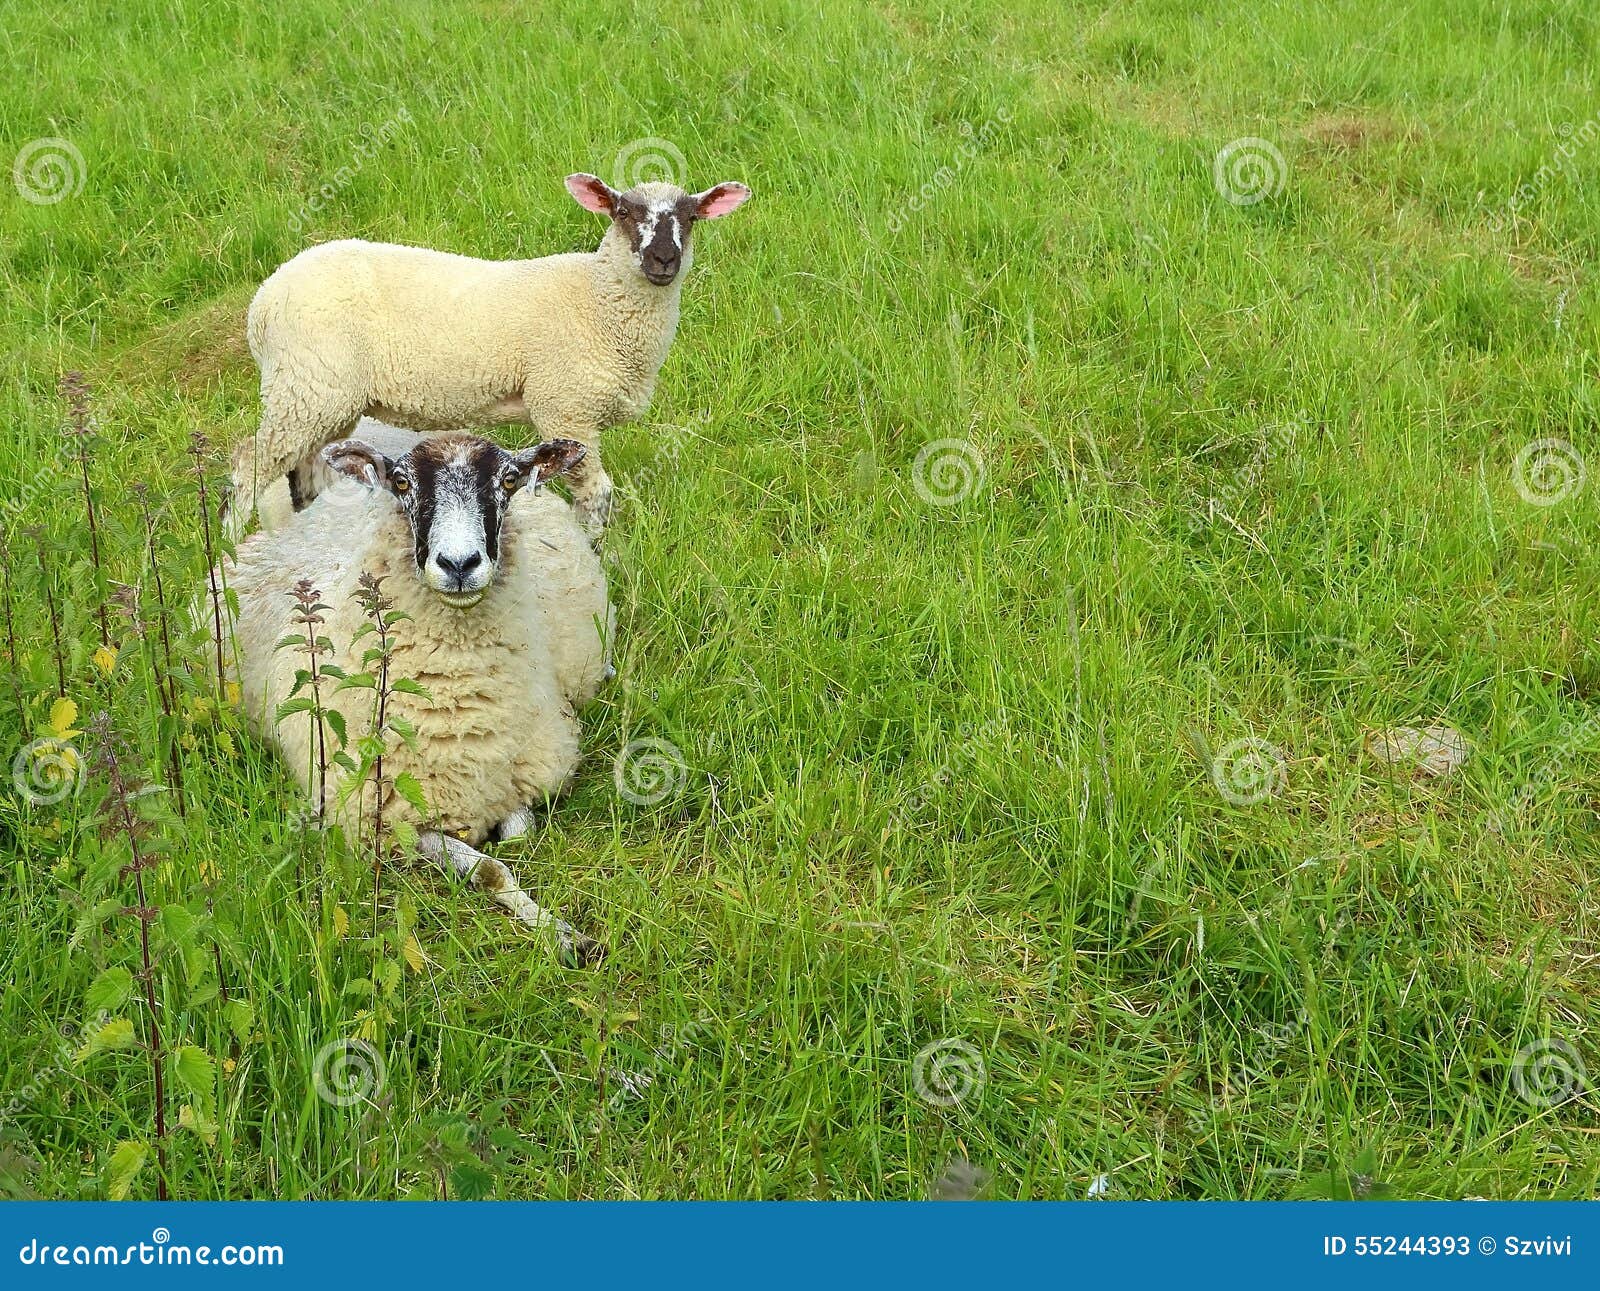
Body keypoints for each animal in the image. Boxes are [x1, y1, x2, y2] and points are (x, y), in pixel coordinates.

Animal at [216, 419, 614, 963]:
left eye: (510, 479)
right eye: (402, 483)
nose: (459, 563)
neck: (459, 707)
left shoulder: (520, 780)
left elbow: (516, 837)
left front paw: (559, 927)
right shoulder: (391, 823)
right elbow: (493, 869)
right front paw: (559, 932)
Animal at [226, 171, 752, 539]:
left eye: (691, 216)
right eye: (622, 211)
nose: (664, 260)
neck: (598, 298)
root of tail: (261, 305)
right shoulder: (566, 407)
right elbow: (596, 494)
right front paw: (596, 552)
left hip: (322, 399)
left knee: (304, 473)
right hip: (306, 388)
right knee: (249, 465)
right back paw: (229, 546)